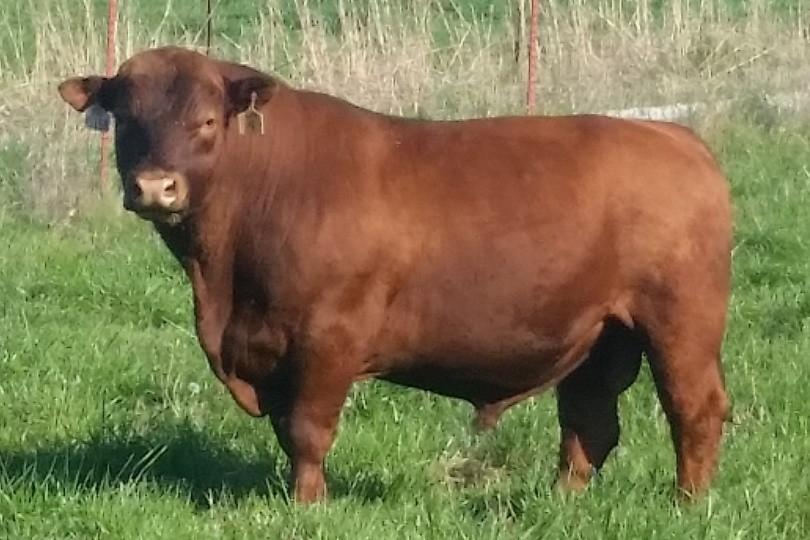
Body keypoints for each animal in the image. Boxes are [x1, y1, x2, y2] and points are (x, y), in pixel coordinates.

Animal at [58, 46, 731, 503]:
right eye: (126, 120)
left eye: (206, 121)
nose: (155, 187)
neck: (222, 281)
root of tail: (676, 136)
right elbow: (287, 430)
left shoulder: (327, 339)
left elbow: (306, 431)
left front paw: (308, 505)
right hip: (601, 334)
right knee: (589, 420)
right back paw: (563, 501)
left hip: (681, 323)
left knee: (694, 408)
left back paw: (687, 504)